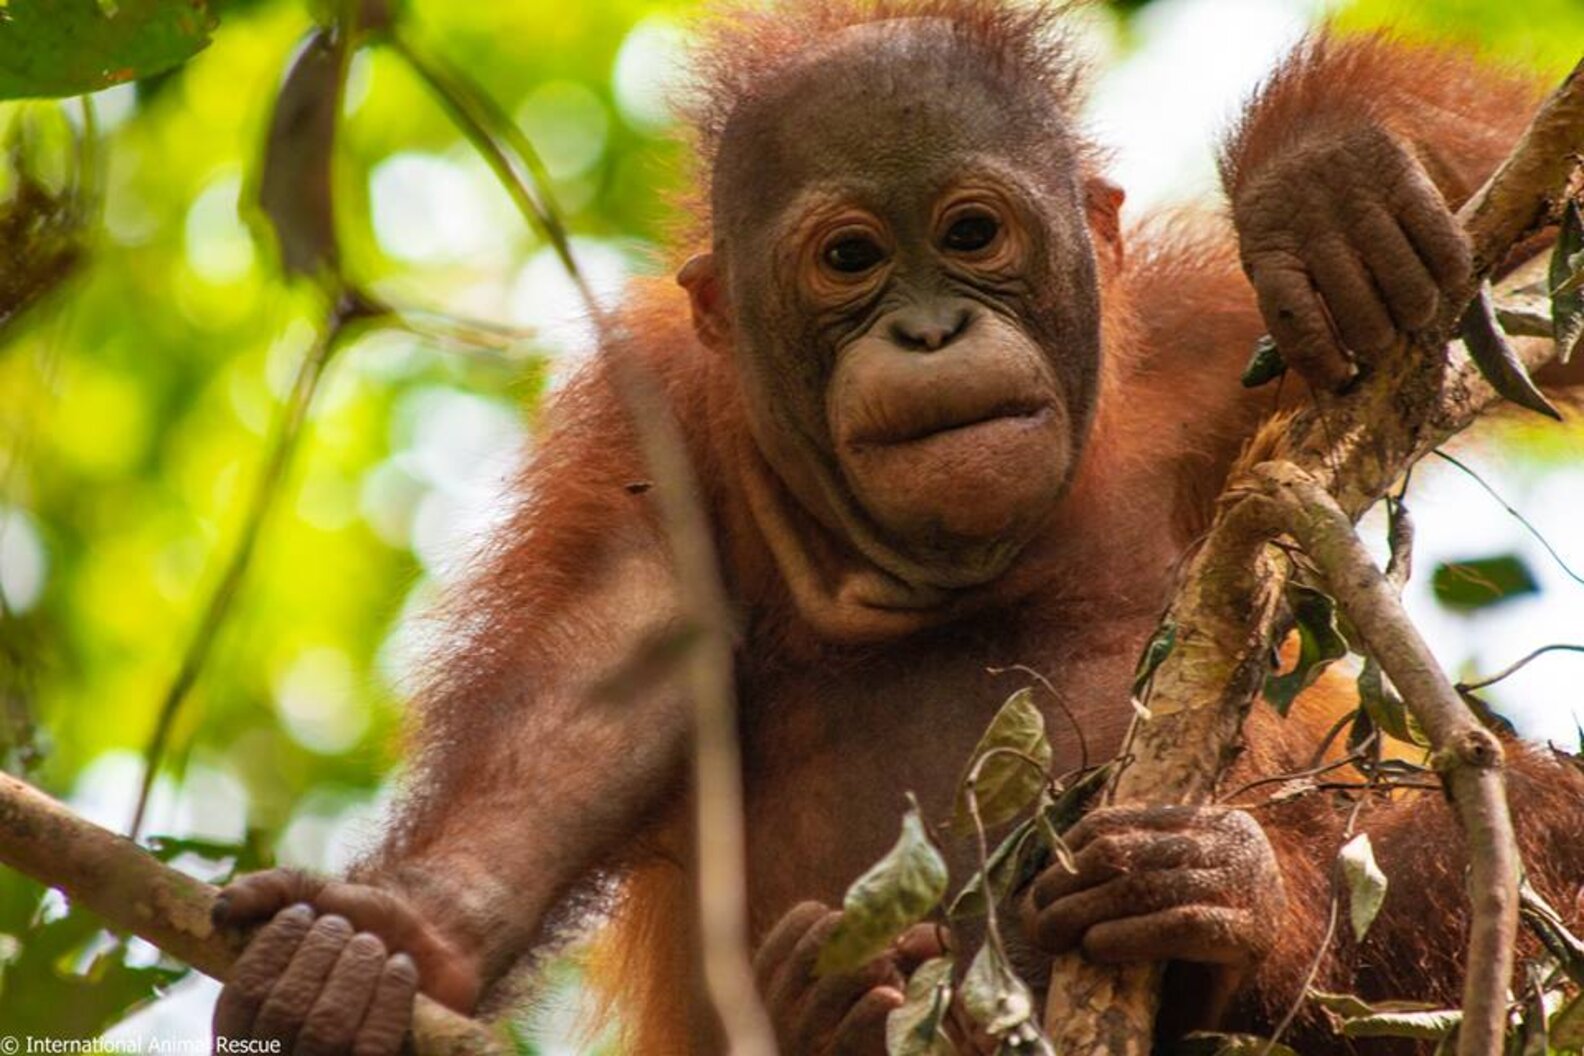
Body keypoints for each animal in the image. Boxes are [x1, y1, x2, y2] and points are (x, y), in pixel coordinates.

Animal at [207, 3, 1584, 1053]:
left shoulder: (1203, 349)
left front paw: (1325, 168)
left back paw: (1218, 905)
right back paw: (834, 1004)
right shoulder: (654, 443)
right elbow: (585, 703)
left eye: (972, 232)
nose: (928, 330)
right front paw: (388, 944)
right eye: (851, 258)